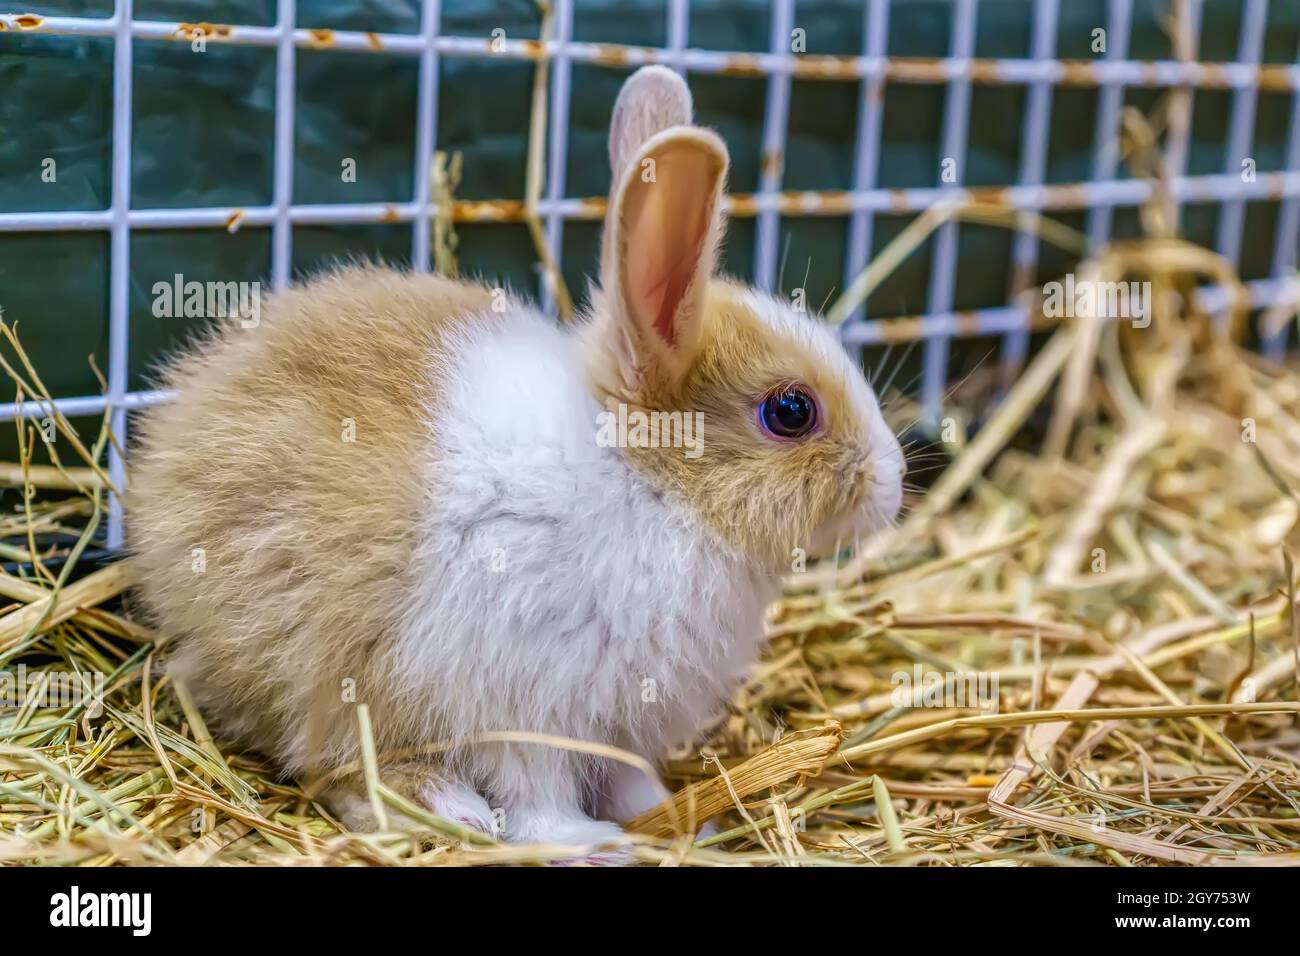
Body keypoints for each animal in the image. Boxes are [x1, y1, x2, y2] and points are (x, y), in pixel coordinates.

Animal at [127, 65, 904, 858]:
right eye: (791, 411)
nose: (894, 483)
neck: (651, 485)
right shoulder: (525, 702)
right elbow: (537, 792)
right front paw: (593, 843)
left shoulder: (616, 724)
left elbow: (629, 778)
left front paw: (684, 819)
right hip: (328, 668)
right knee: (335, 765)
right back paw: (456, 809)